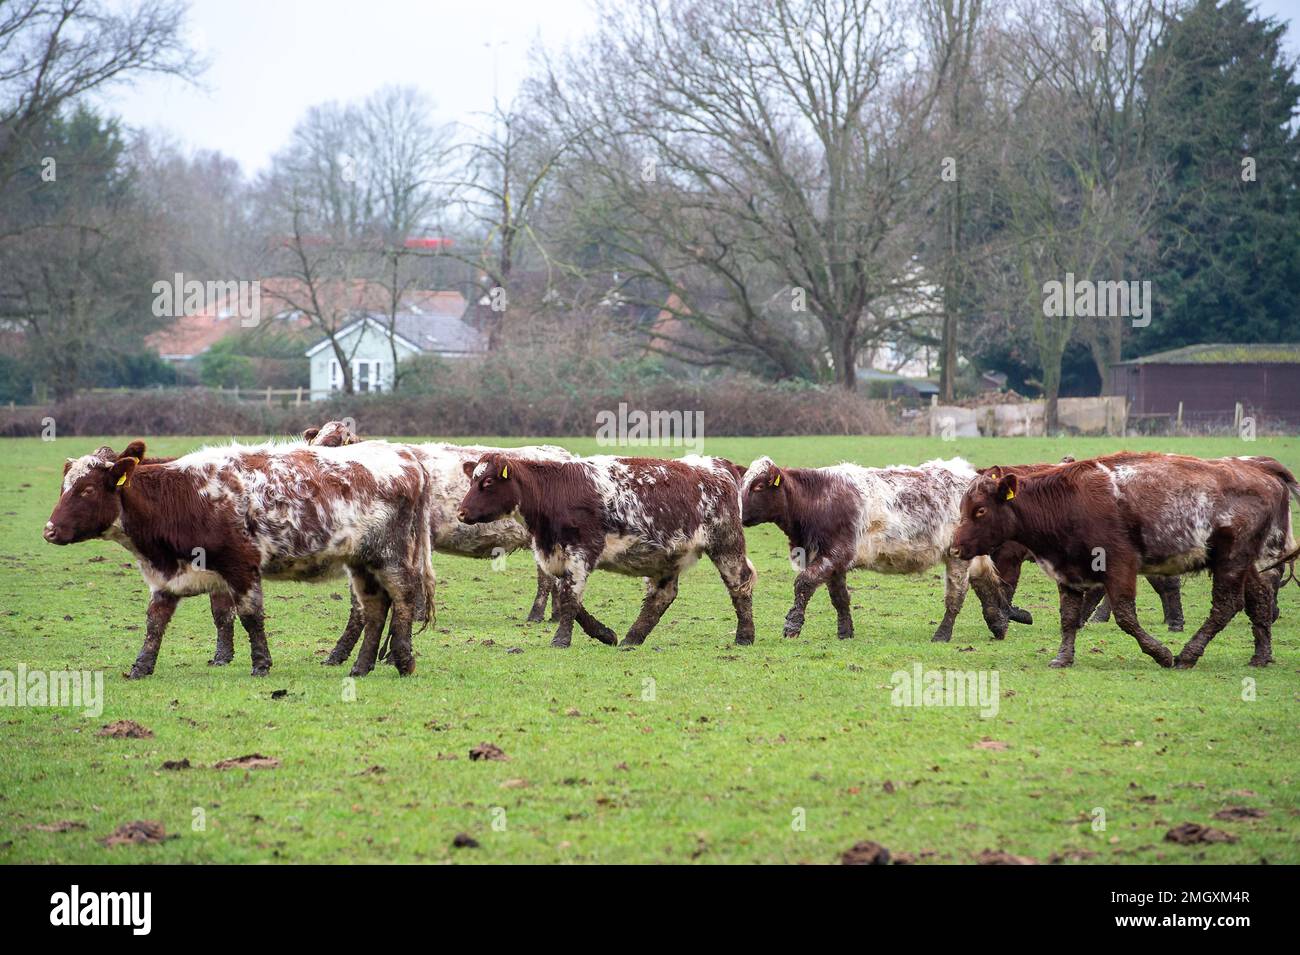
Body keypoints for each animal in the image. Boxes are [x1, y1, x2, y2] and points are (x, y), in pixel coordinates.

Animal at [44, 439, 437, 678]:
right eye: (64, 488)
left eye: (87, 490)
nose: (49, 531)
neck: (184, 495)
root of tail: (406, 457)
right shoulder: (168, 578)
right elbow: (155, 623)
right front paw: (141, 666)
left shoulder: (241, 565)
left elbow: (250, 617)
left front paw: (261, 664)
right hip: (361, 562)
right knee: (374, 610)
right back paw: (361, 666)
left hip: (391, 556)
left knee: (403, 599)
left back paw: (403, 659)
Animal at [457, 453, 756, 649]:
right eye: (472, 480)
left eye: (488, 482)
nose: (461, 512)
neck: (554, 491)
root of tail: (718, 464)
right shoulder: (554, 556)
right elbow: (569, 598)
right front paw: (605, 634)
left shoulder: (581, 553)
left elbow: (570, 598)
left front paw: (561, 639)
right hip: (669, 556)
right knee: (661, 596)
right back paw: (632, 638)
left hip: (726, 543)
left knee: (740, 583)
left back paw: (745, 636)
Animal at [738, 456, 1009, 643]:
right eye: (742, 484)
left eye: (758, 487)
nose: (738, 514)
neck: (817, 499)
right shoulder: (834, 562)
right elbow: (840, 598)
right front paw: (845, 632)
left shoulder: (835, 553)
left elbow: (803, 582)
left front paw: (792, 626)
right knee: (985, 582)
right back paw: (999, 624)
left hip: (957, 557)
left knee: (956, 596)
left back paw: (942, 634)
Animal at [951, 452, 1299, 669]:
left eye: (980, 510)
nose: (954, 548)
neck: (1066, 501)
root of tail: (1262, 472)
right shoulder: (1068, 571)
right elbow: (1068, 618)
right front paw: (1063, 658)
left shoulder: (1119, 565)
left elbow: (1125, 616)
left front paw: (1161, 654)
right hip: (1251, 562)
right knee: (1259, 599)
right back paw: (1261, 656)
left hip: (1231, 560)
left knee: (1226, 606)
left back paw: (1188, 655)